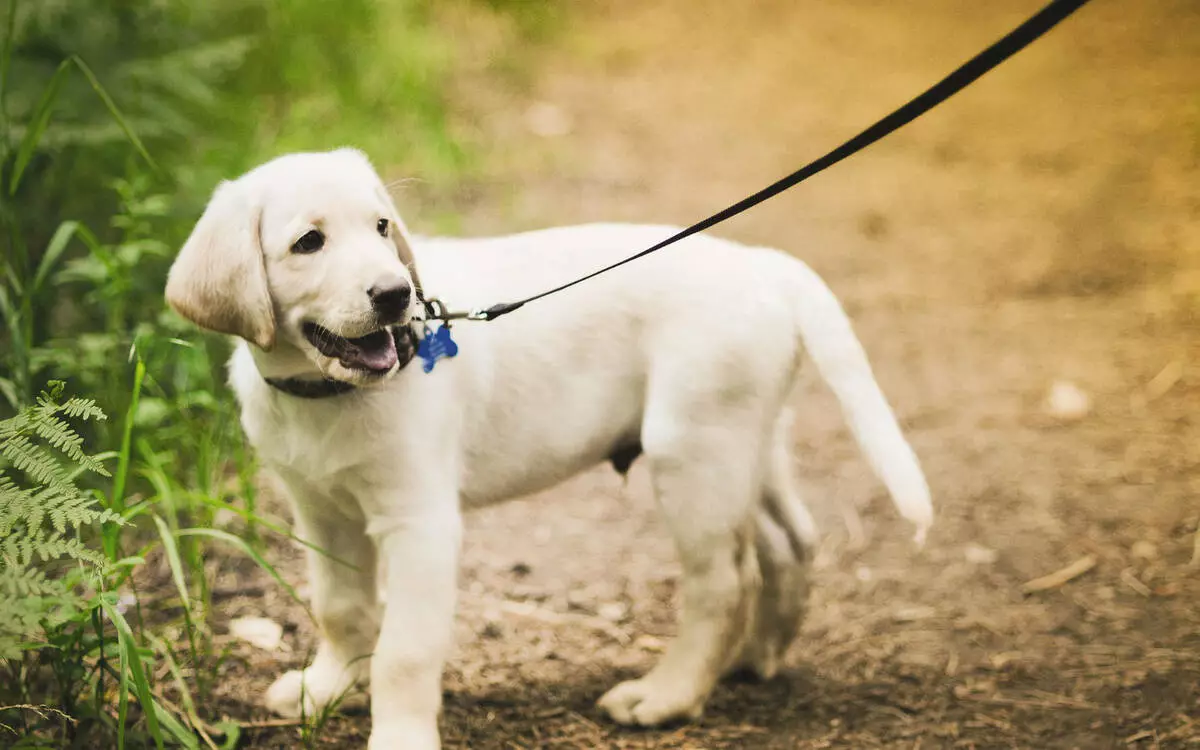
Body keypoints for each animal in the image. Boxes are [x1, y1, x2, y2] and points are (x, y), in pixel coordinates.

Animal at [164, 147, 931, 748]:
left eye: (382, 227)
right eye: (308, 243)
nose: (395, 294)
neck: (324, 394)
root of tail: (764, 266)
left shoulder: (420, 523)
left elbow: (404, 650)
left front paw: (397, 733)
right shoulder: (320, 510)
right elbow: (341, 608)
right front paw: (324, 690)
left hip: (693, 452)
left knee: (723, 581)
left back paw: (667, 696)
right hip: (747, 439)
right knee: (789, 540)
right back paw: (757, 657)